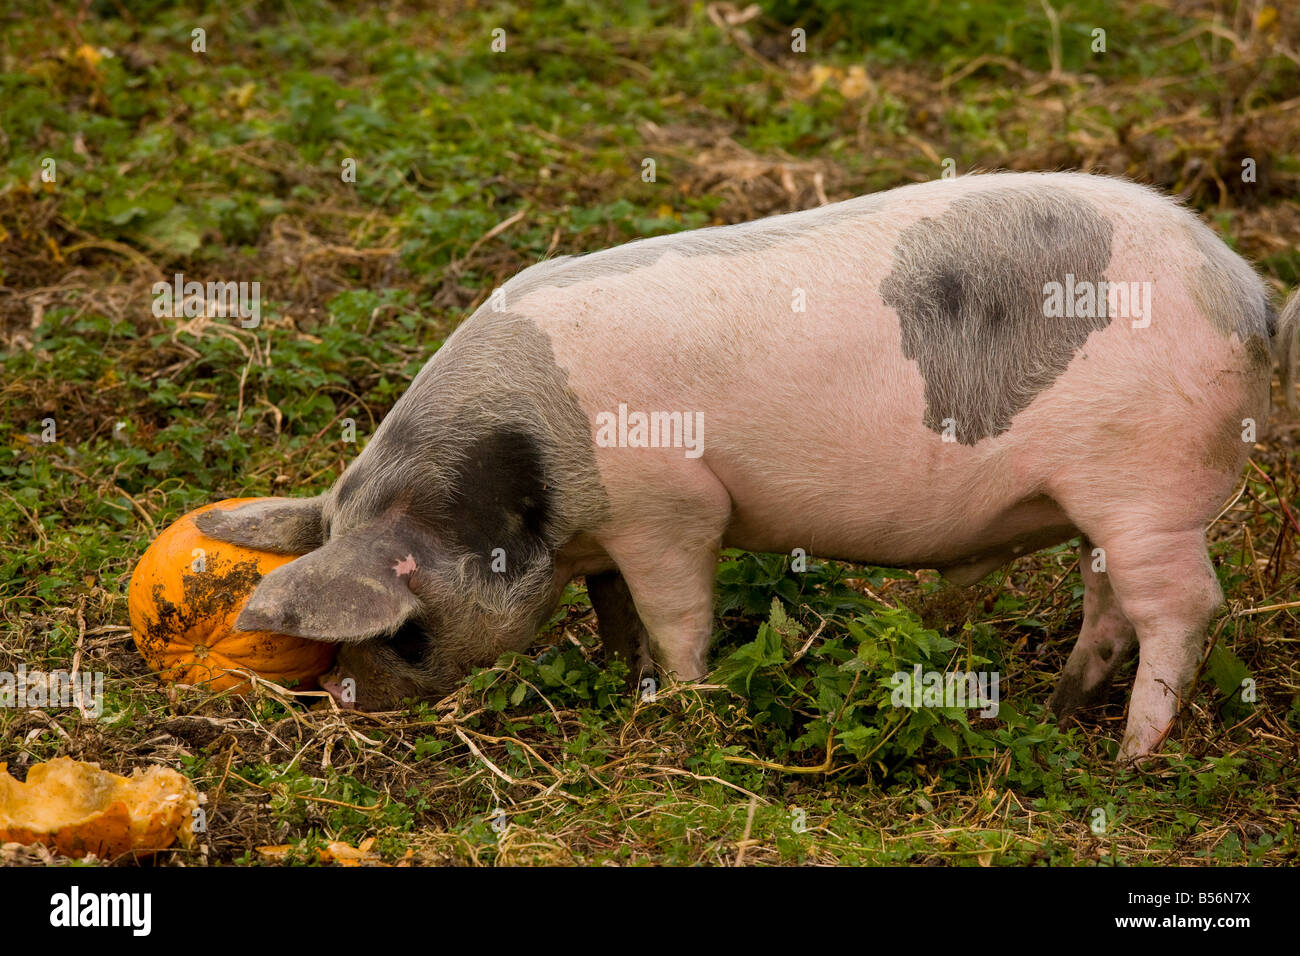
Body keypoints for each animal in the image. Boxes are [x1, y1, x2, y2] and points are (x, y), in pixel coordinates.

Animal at [197, 171, 1299, 759]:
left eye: (408, 631)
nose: (350, 703)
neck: (533, 475)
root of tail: (1248, 297)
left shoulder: (670, 507)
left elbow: (678, 612)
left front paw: (682, 704)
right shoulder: (603, 535)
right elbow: (613, 608)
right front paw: (620, 676)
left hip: (1147, 486)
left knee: (1183, 608)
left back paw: (1128, 757)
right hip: (1111, 504)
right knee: (1111, 601)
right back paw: (1063, 704)